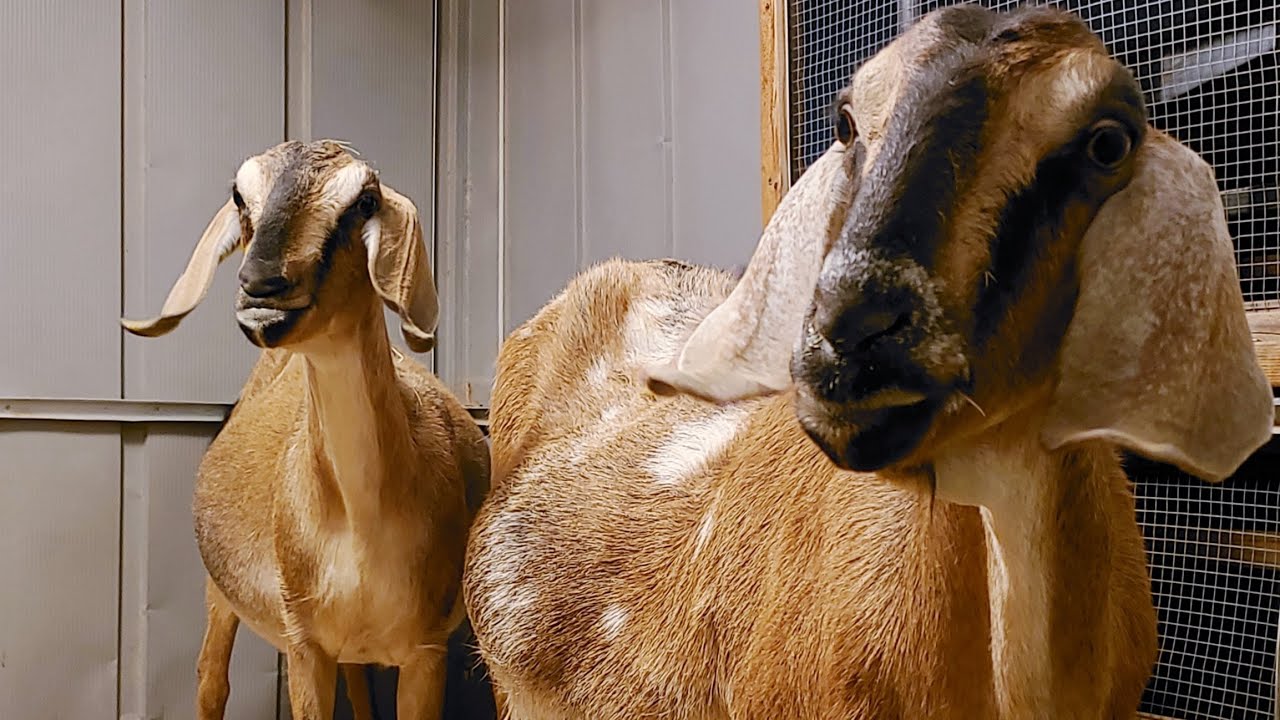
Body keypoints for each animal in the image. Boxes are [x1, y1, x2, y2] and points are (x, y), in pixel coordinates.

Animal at [122, 140, 491, 720]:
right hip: (219, 596)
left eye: (364, 201)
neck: (361, 525)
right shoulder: (305, 647)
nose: (262, 287)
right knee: (211, 680)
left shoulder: (425, 654)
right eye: (239, 195)